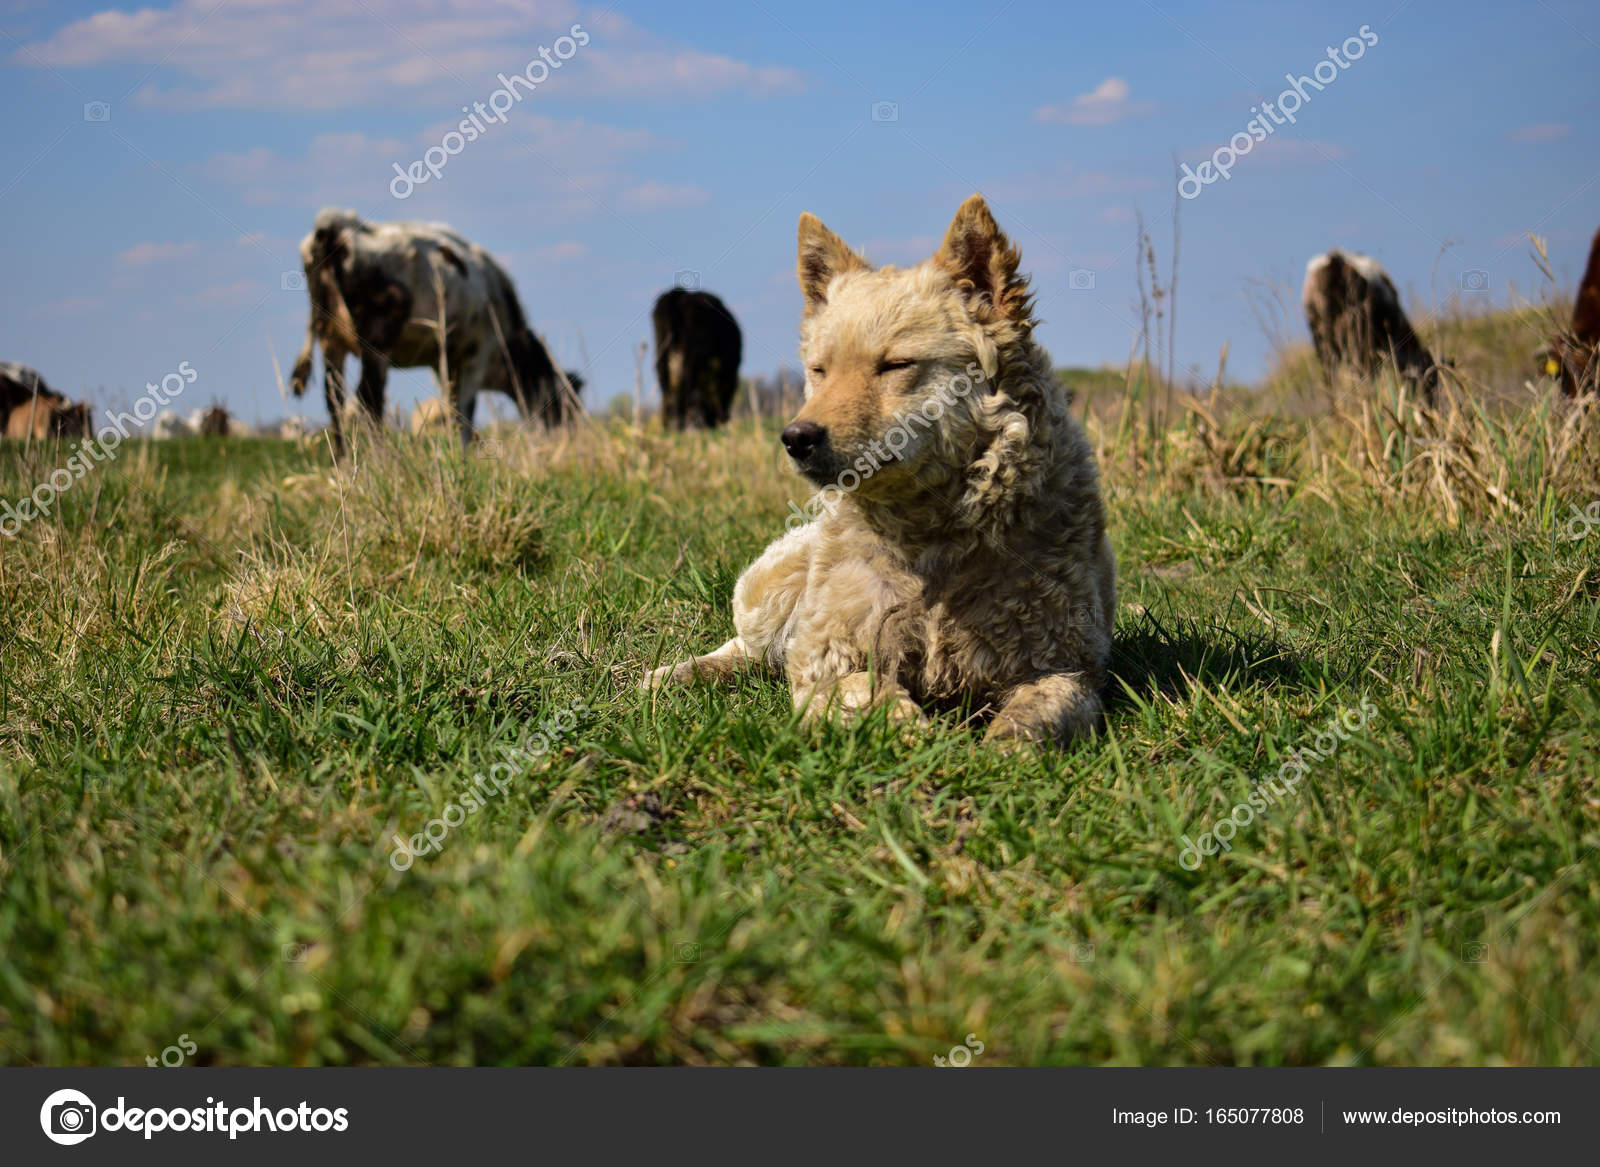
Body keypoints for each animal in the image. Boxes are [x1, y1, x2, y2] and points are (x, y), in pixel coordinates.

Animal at [287, 209, 578, 453]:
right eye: (567, 404)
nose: (570, 435)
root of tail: (333, 225)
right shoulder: (478, 351)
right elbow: (464, 409)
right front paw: (466, 454)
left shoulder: (443, 361)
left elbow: (451, 404)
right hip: (377, 341)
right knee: (368, 401)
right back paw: (380, 460)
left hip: (330, 340)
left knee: (334, 401)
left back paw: (344, 464)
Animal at [652, 288, 743, 429]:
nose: (723, 419)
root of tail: (680, 293)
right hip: (691, 358)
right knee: (683, 389)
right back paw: (680, 425)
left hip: (662, 352)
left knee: (666, 390)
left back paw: (666, 425)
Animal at [1303, 249, 1444, 404]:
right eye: (1431, 380)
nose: (1436, 404)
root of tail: (1334, 258)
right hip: (1357, 336)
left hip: (1322, 337)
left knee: (1330, 379)